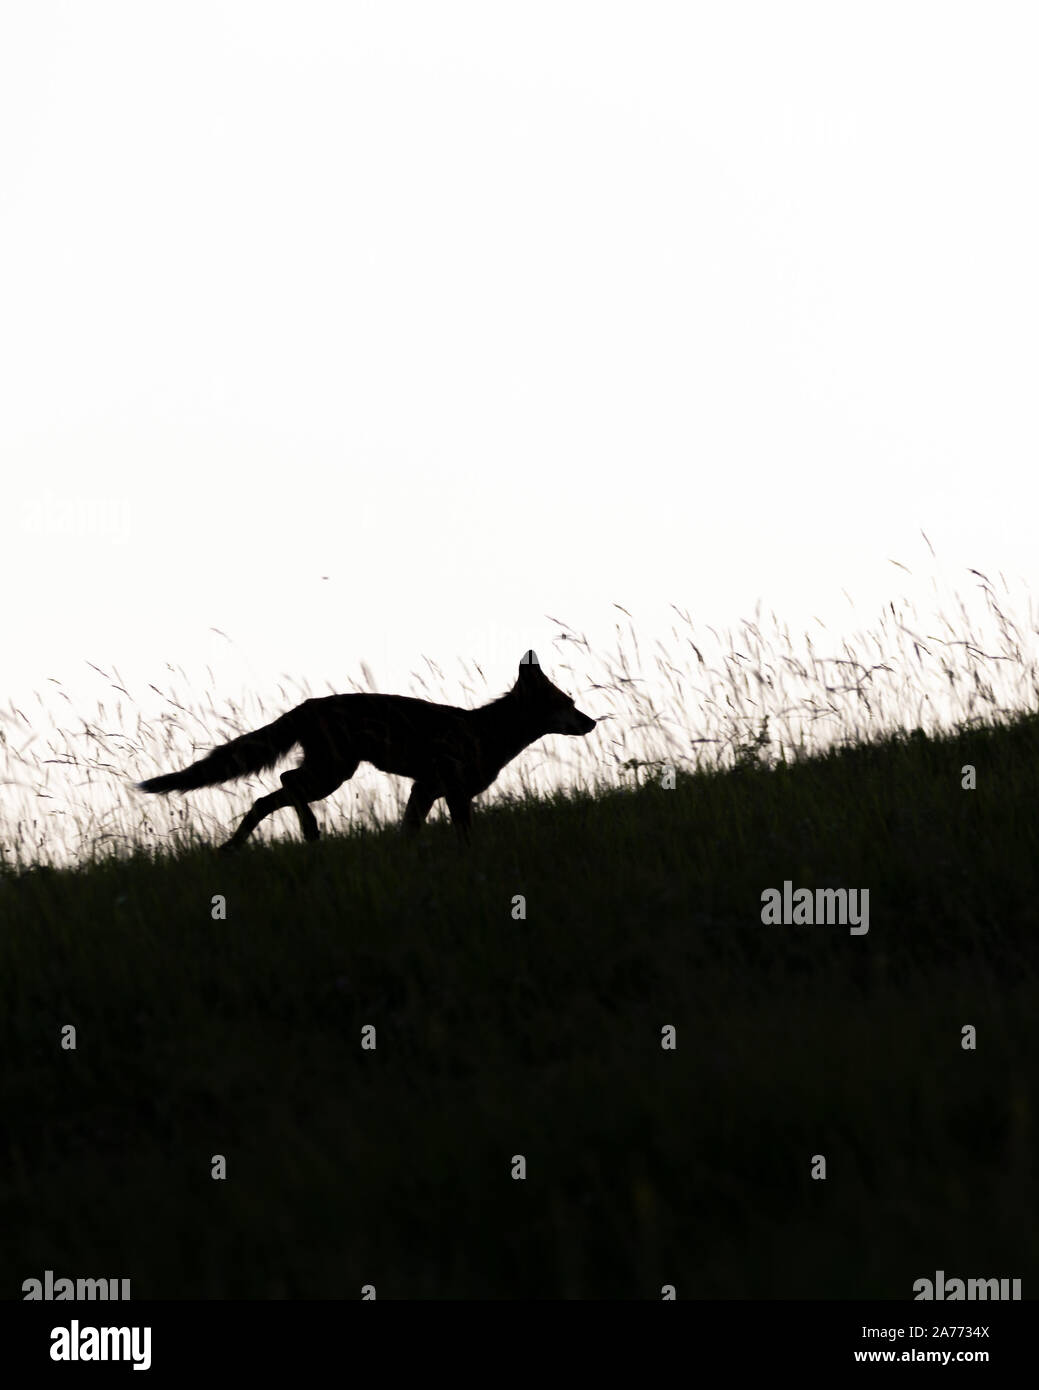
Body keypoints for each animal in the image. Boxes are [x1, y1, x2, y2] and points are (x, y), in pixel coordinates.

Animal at [136, 651, 596, 851]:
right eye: (568, 704)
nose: (593, 723)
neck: (486, 733)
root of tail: (308, 705)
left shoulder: (426, 789)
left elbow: (408, 831)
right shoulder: (451, 790)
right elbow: (463, 835)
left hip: (329, 772)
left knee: (264, 800)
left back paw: (238, 847)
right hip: (332, 774)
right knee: (284, 783)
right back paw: (308, 831)